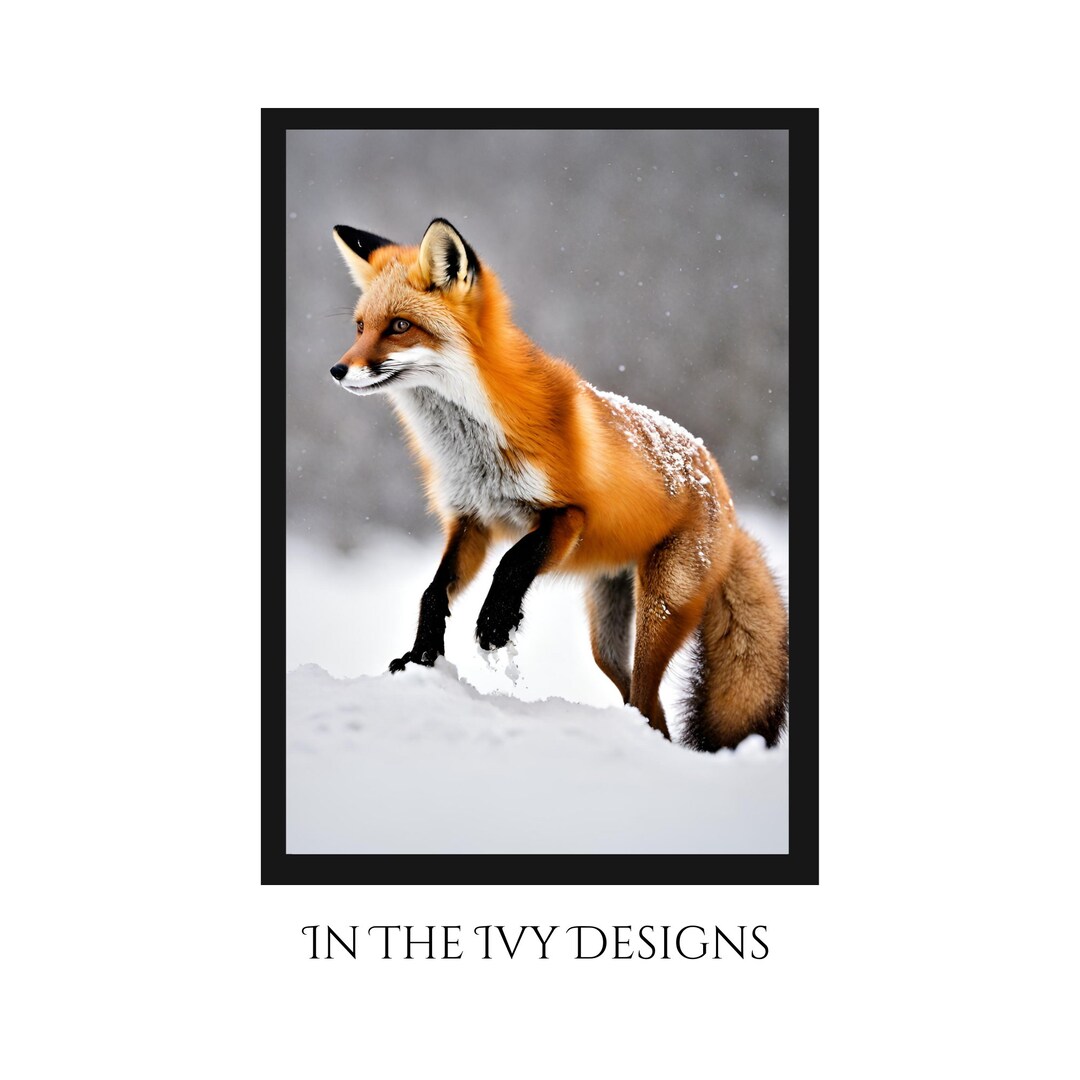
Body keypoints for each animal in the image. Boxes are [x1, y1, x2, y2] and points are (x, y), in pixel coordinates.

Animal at [329, 217, 788, 751]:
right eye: (360, 327)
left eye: (400, 326)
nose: (337, 370)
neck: (473, 448)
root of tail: (725, 495)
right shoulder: (471, 521)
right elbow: (433, 591)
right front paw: (422, 656)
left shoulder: (568, 517)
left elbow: (512, 562)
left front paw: (495, 622)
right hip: (605, 633)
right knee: (645, 701)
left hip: (660, 608)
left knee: (647, 695)